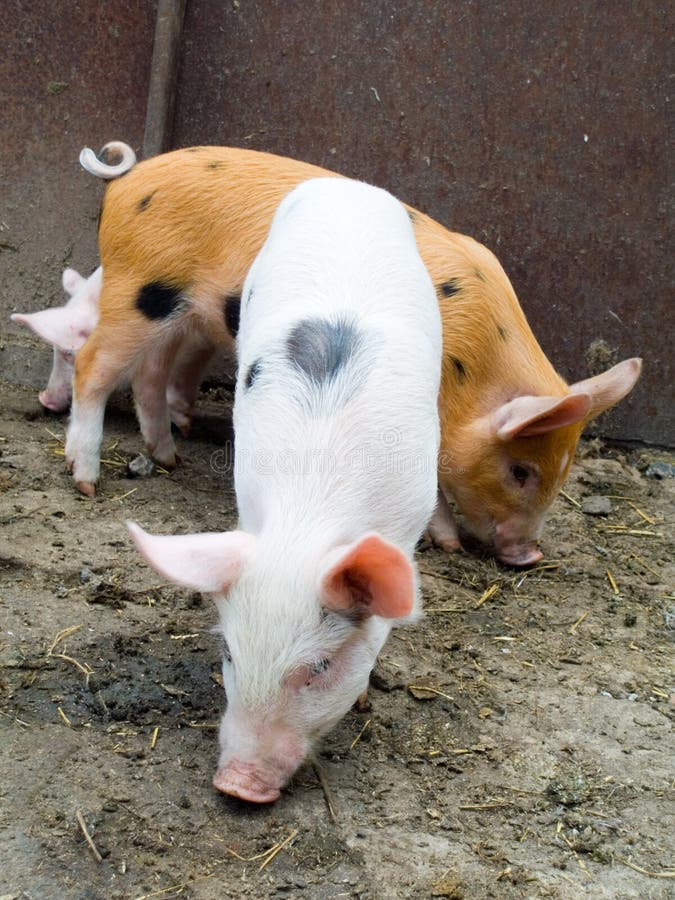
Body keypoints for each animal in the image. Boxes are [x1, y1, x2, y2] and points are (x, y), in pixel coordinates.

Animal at [67, 141, 641, 564]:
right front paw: (448, 543)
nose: (530, 555)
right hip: (139, 287)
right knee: (92, 365)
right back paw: (87, 483)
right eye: (520, 470)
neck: (470, 368)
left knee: (150, 373)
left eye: (564, 470)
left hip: (176, 311)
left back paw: (170, 458)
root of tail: (126, 183)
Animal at [129, 177, 442, 802]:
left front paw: (366, 696)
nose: (236, 785)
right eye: (228, 651)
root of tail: (342, 184)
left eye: (319, 667)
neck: (308, 517)